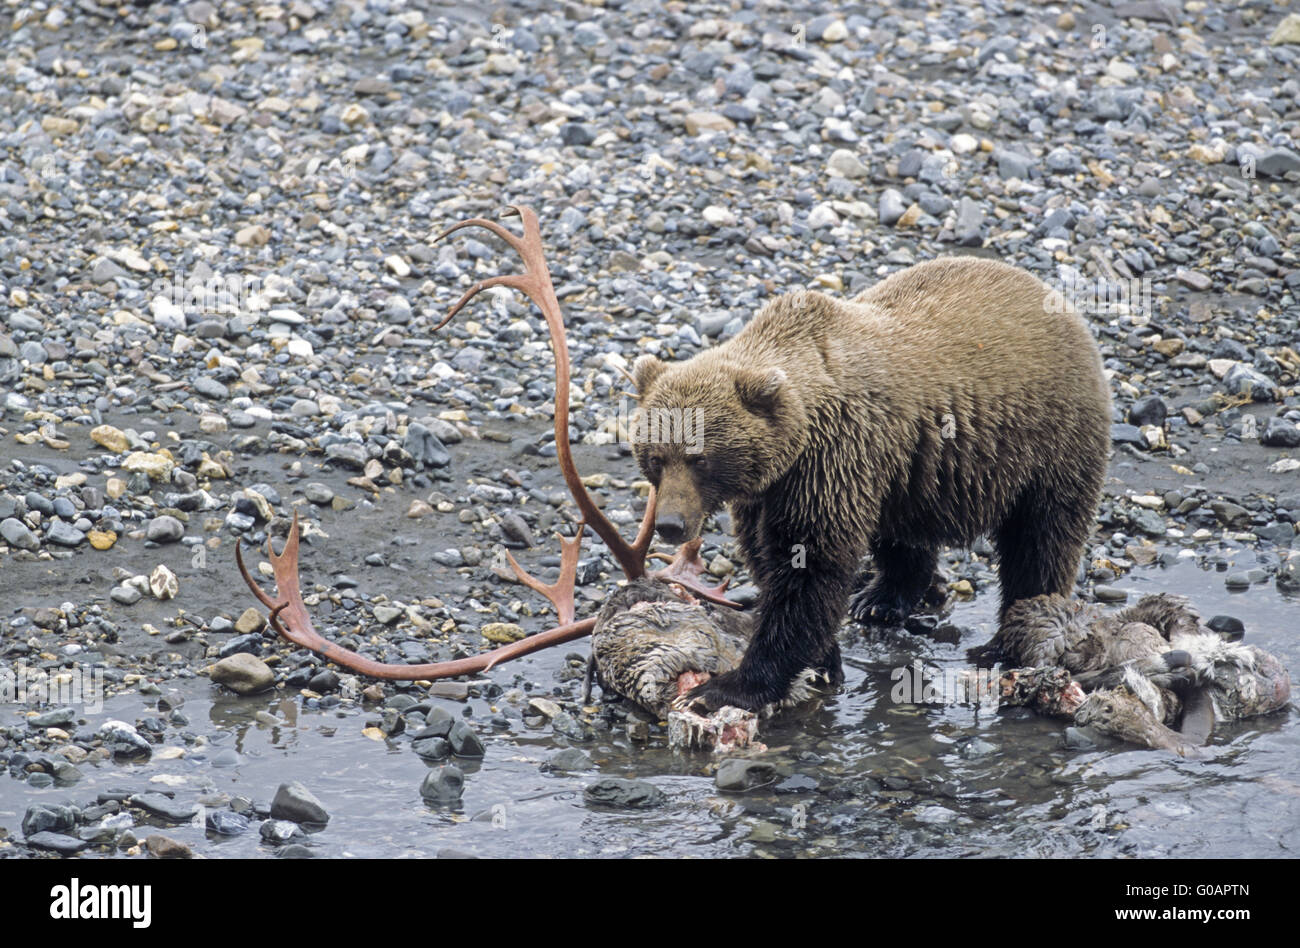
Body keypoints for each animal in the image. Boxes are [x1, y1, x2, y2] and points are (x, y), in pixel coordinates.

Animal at [629, 256, 1112, 712]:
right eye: (656, 457)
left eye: (700, 459)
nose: (670, 523)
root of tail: (1055, 298)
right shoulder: (774, 489)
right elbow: (769, 559)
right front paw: (824, 660)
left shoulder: (830, 460)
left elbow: (808, 566)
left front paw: (727, 687)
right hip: (914, 472)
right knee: (903, 532)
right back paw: (881, 598)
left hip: (1047, 440)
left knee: (1041, 538)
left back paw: (1011, 636)